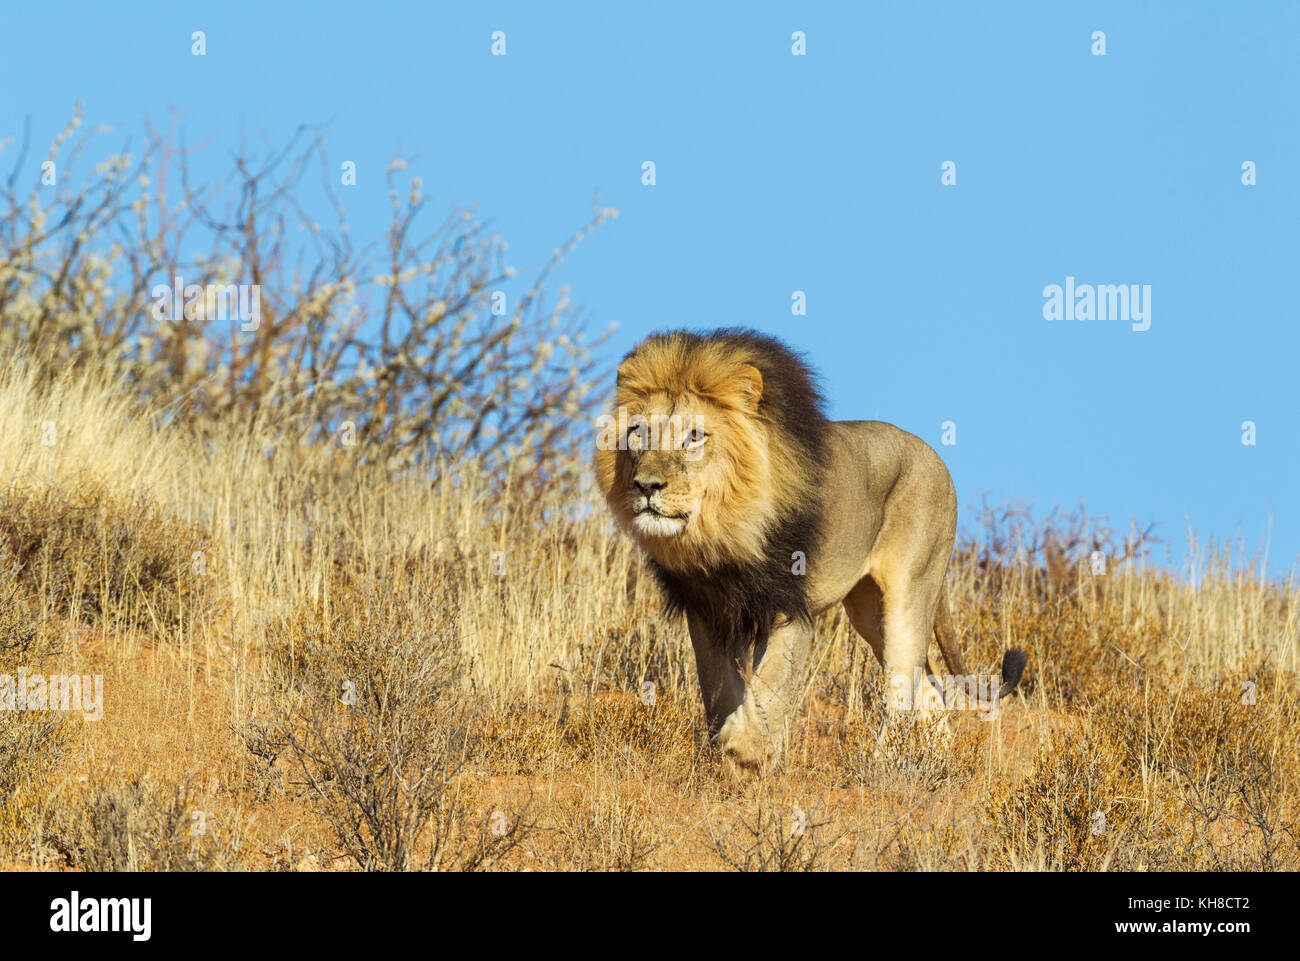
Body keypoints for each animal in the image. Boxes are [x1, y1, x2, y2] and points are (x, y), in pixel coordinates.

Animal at [594, 328, 1026, 778]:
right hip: (869, 612)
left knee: (903, 683)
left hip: (910, 593)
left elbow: (772, 683)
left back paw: (884, 765)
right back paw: (933, 764)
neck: (724, 529)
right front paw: (725, 757)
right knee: (928, 690)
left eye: (694, 436)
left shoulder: (790, 606)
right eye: (638, 432)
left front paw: (744, 749)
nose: (645, 485)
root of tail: (933, 454)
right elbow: (719, 687)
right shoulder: (708, 610)